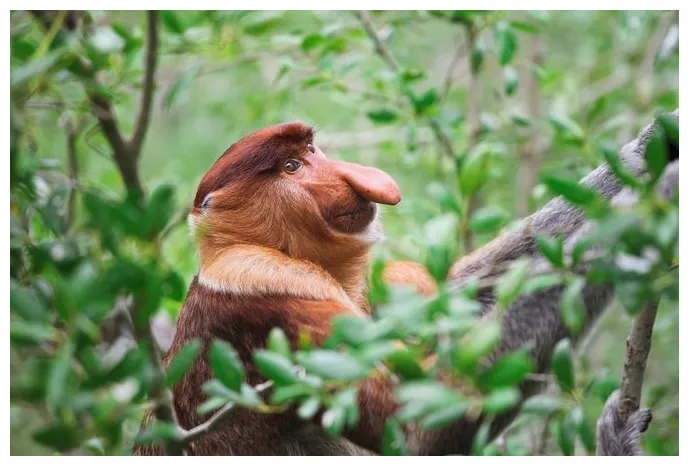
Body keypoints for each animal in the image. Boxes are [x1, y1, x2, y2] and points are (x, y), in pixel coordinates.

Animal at [134, 111, 677, 456]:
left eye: (312, 150)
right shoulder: (270, 295)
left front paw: (652, 148)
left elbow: (467, 294)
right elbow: (421, 425)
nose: (355, 176)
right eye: (291, 167)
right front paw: (643, 210)